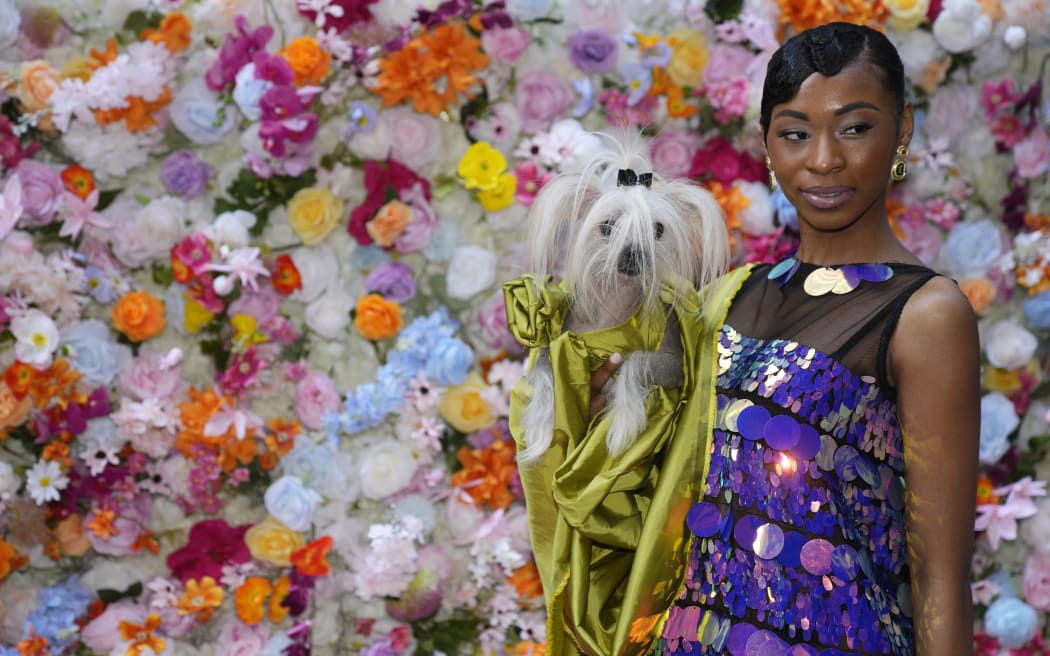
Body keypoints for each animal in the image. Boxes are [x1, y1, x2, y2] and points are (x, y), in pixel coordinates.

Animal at [510, 131, 726, 466]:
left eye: (658, 229)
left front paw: (623, 425)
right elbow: (544, 371)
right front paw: (538, 432)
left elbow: (633, 361)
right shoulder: (555, 347)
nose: (635, 253)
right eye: (608, 226)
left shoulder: (674, 365)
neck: (613, 307)